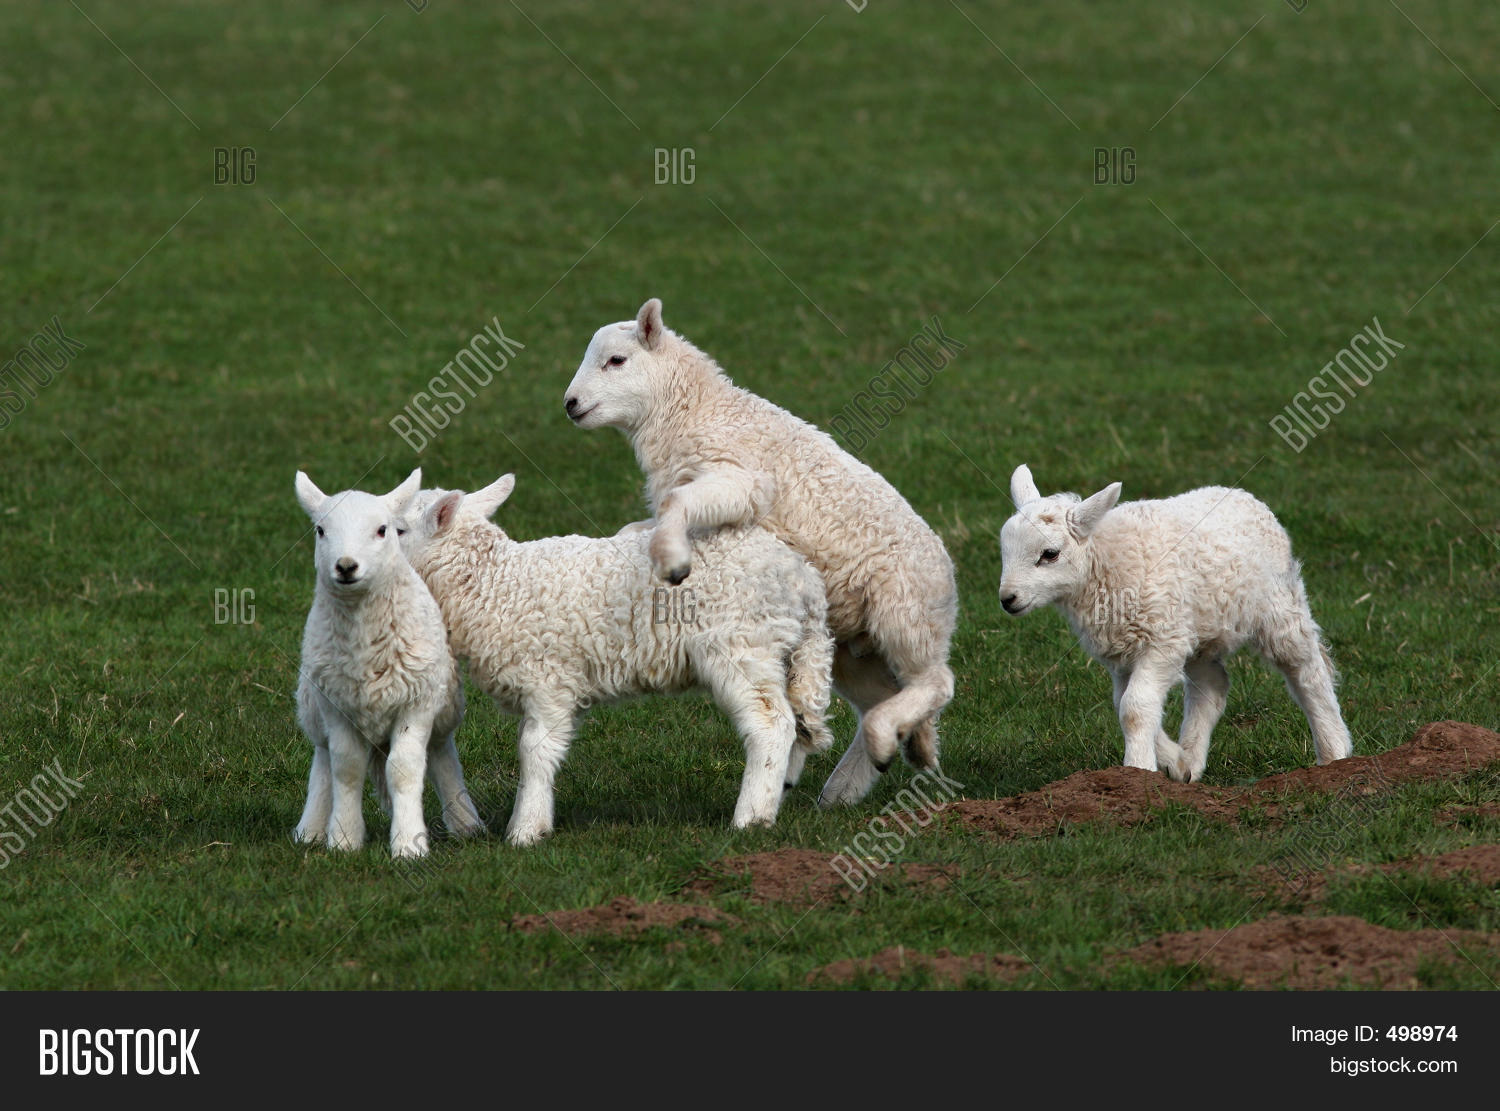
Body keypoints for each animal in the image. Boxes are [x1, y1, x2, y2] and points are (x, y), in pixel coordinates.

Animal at [293, 469, 486, 858]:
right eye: (321, 530)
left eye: (383, 530)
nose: (346, 566)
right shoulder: (336, 705)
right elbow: (346, 767)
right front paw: (344, 838)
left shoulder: (417, 701)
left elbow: (405, 769)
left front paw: (409, 843)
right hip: (313, 702)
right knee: (323, 759)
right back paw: (311, 829)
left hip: (442, 703)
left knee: (440, 753)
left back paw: (465, 822)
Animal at [394, 472, 835, 846]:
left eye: (396, 531)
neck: (494, 583)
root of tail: (804, 580)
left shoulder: (549, 679)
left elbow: (535, 751)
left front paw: (525, 830)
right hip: (784, 650)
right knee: (797, 723)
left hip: (741, 646)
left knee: (770, 724)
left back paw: (751, 817)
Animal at [563, 298, 957, 808]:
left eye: (616, 360)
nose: (570, 404)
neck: (692, 413)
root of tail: (948, 571)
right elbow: (643, 524)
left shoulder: (738, 478)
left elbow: (677, 505)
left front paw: (673, 562)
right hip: (852, 643)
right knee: (886, 694)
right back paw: (884, 761)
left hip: (905, 612)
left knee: (935, 681)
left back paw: (885, 743)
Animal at [997, 464, 1354, 782]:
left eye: (1050, 554)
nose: (1007, 598)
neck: (1104, 564)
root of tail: (1243, 495)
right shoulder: (1123, 652)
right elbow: (1125, 704)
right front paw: (1174, 763)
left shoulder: (1161, 640)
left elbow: (1134, 707)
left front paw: (1137, 770)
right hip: (1200, 627)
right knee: (1212, 686)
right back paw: (1191, 760)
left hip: (1277, 605)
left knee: (1307, 671)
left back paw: (1334, 752)